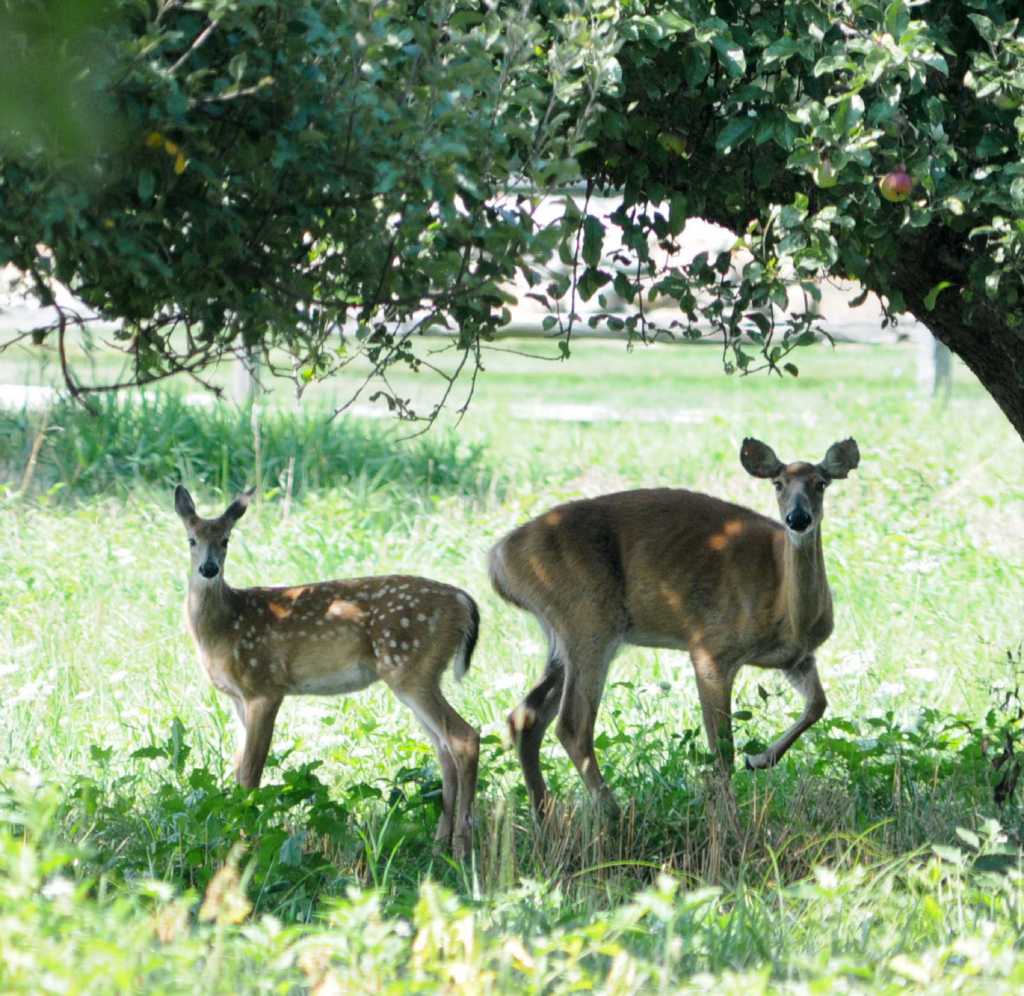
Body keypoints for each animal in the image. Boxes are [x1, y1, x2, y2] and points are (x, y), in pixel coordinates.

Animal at [173, 486, 481, 860]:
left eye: (226, 539)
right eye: (191, 539)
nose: (209, 568)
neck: (224, 627)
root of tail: (464, 601)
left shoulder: (265, 686)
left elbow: (251, 773)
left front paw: (247, 842)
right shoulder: (237, 698)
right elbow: (237, 768)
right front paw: (235, 833)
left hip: (411, 668)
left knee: (464, 738)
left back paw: (463, 849)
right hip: (419, 676)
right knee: (443, 748)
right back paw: (439, 846)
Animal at [489, 437, 860, 818]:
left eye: (821, 483)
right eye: (778, 483)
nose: (798, 519)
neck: (788, 611)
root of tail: (498, 558)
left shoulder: (798, 659)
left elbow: (818, 704)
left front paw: (760, 759)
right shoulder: (710, 648)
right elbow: (722, 749)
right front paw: (727, 818)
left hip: (563, 637)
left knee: (525, 717)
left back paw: (544, 814)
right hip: (587, 617)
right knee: (572, 725)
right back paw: (614, 814)